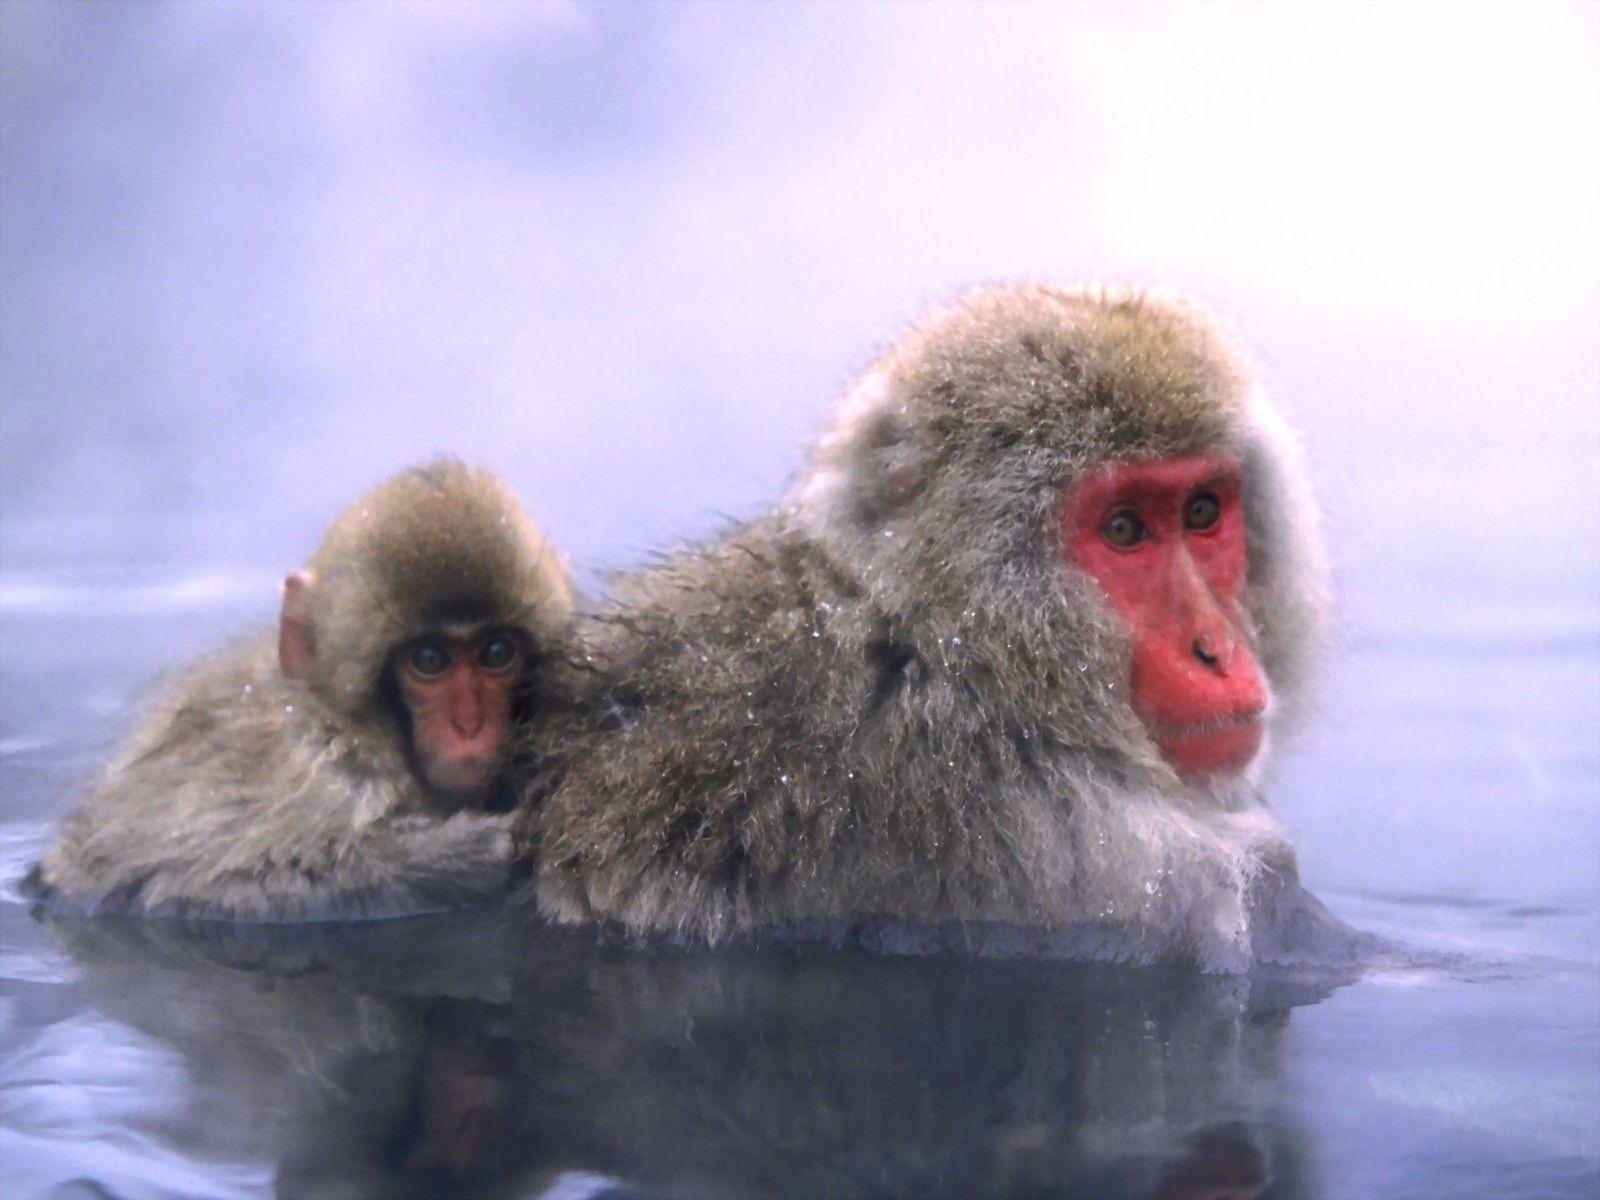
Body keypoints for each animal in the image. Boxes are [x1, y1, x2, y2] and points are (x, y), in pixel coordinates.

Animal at [27, 458, 573, 921]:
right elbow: (187, 883)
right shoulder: (320, 773)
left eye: (496, 652)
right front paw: (471, 854)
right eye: (429, 660)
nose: (469, 723)